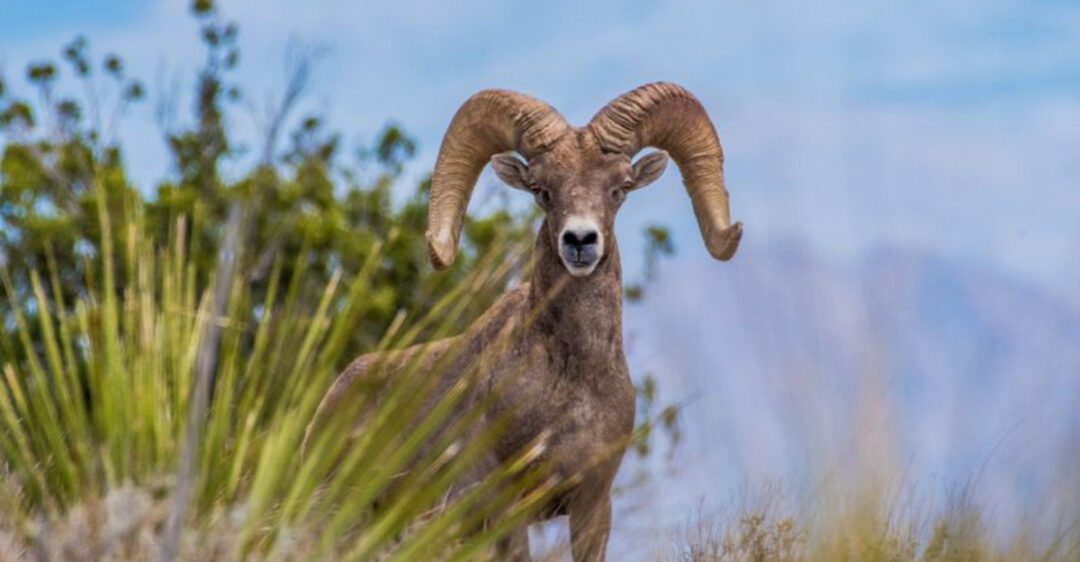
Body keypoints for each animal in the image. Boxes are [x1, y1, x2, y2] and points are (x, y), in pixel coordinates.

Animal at [305, 82, 743, 561]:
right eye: (541, 189)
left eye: (620, 187)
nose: (580, 241)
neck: (572, 388)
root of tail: (332, 399)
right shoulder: (505, 508)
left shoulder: (592, 505)